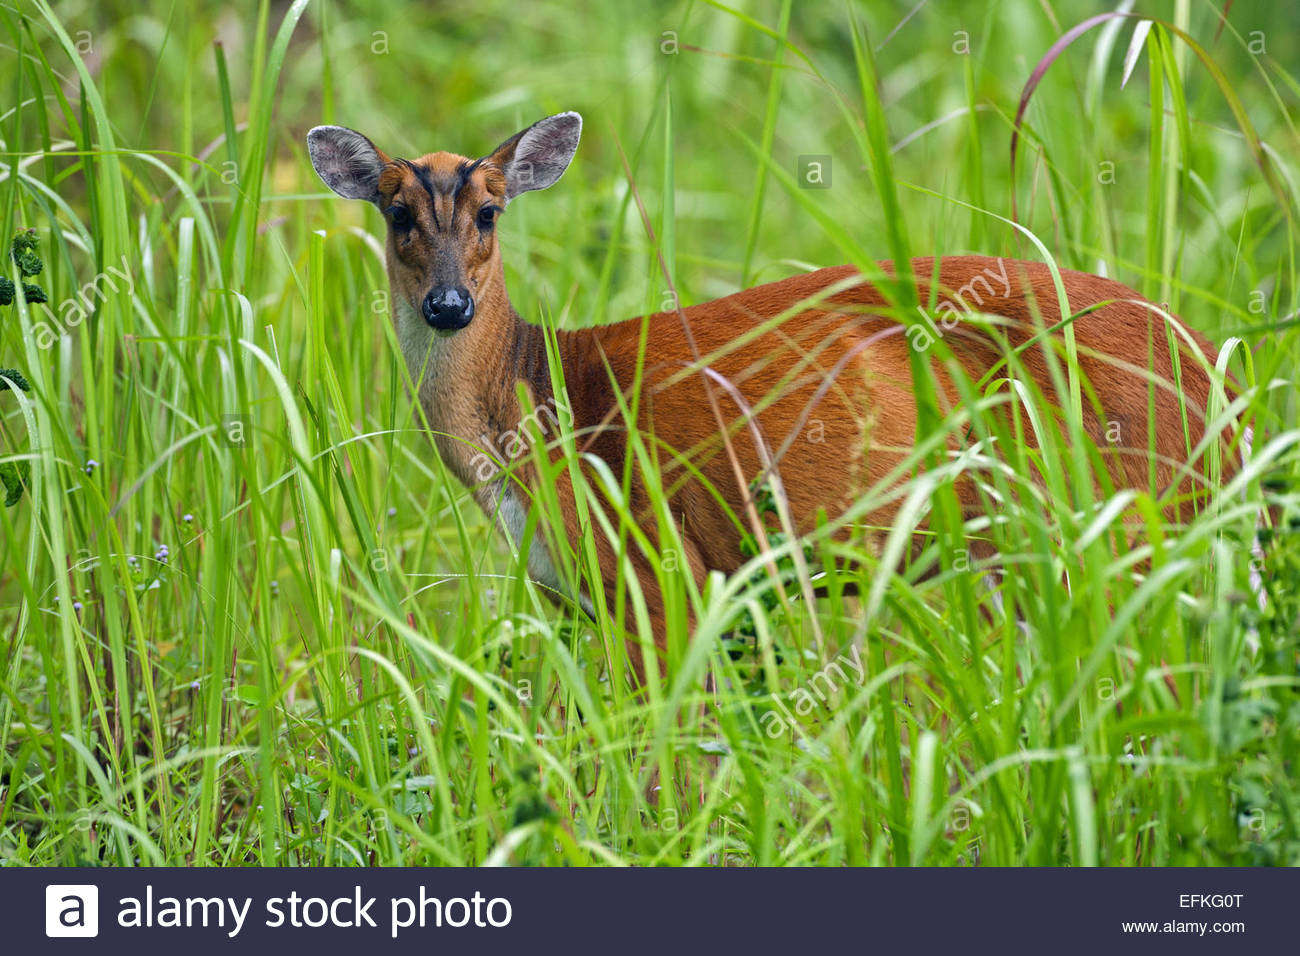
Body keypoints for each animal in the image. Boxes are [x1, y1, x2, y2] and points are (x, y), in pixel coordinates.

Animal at [307, 111, 1244, 681]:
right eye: (396, 213)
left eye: (491, 212)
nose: (449, 305)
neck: (533, 411)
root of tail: (1221, 374)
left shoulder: (657, 564)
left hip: (1126, 512)